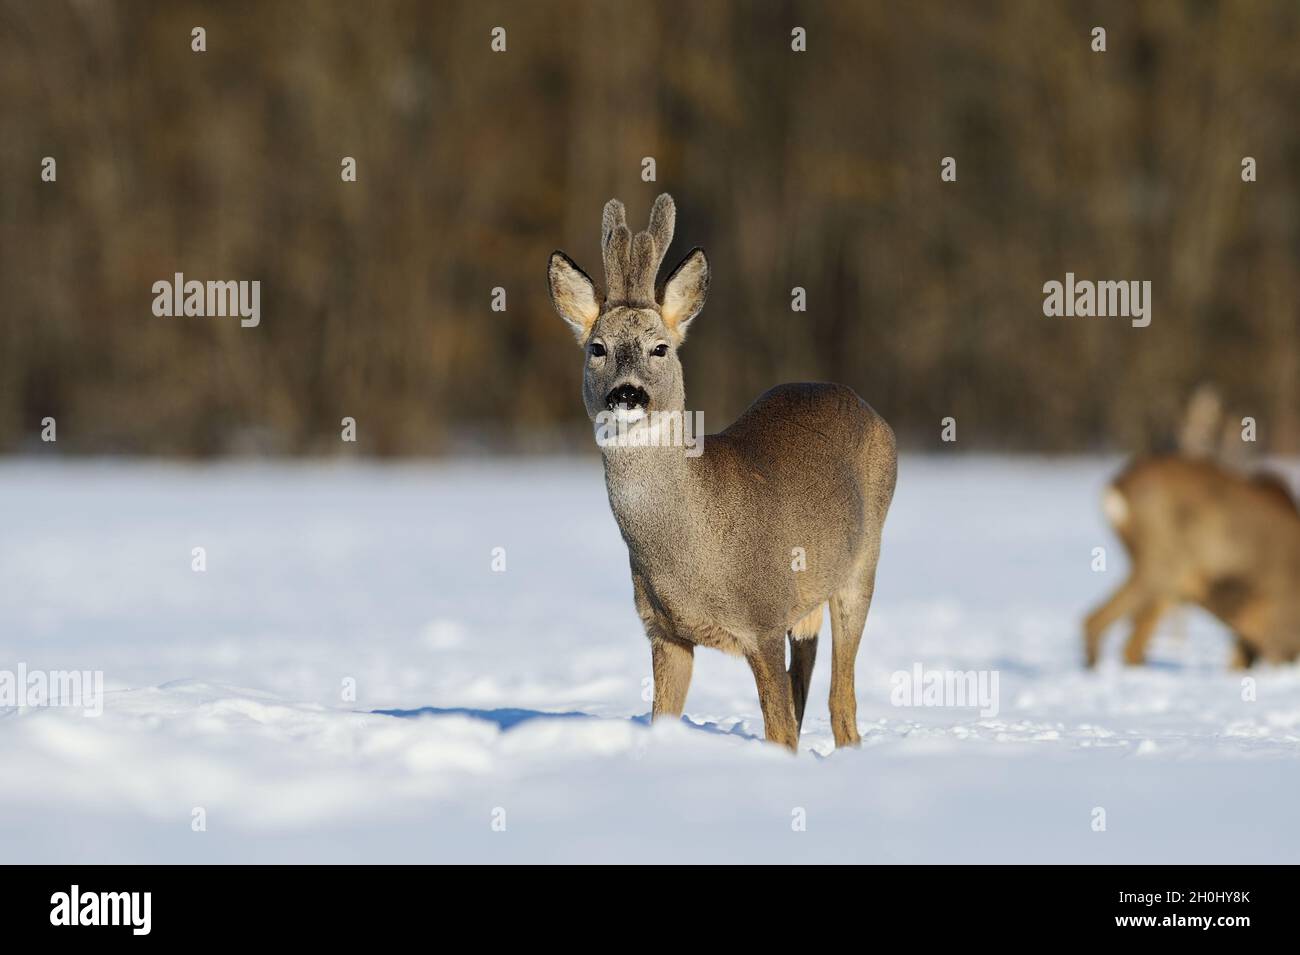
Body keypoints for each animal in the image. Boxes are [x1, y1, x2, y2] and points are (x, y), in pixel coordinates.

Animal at [546, 194, 897, 751]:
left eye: (660, 347)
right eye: (597, 348)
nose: (627, 393)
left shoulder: (764, 619)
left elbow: (779, 729)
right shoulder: (664, 631)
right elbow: (664, 721)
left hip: (861, 565)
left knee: (841, 699)